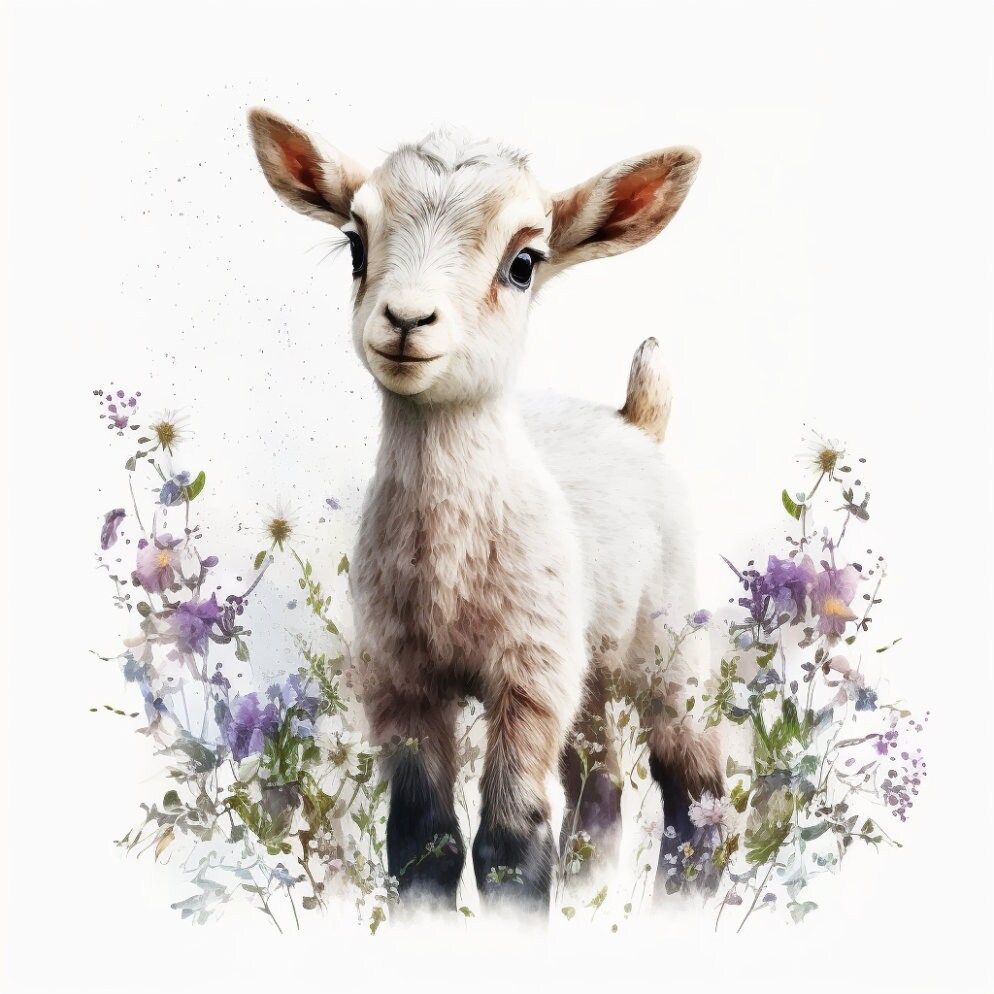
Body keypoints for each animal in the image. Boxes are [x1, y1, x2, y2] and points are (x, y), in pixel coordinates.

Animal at [248, 109, 722, 915]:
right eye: (355, 244)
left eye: (523, 263)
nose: (407, 319)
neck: (450, 574)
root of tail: (635, 419)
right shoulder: (400, 676)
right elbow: (422, 838)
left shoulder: (526, 677)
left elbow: (509, 843)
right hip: (584, 660)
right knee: (600, 786)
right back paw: (594, 887)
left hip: (665, 641)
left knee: (694, 782)